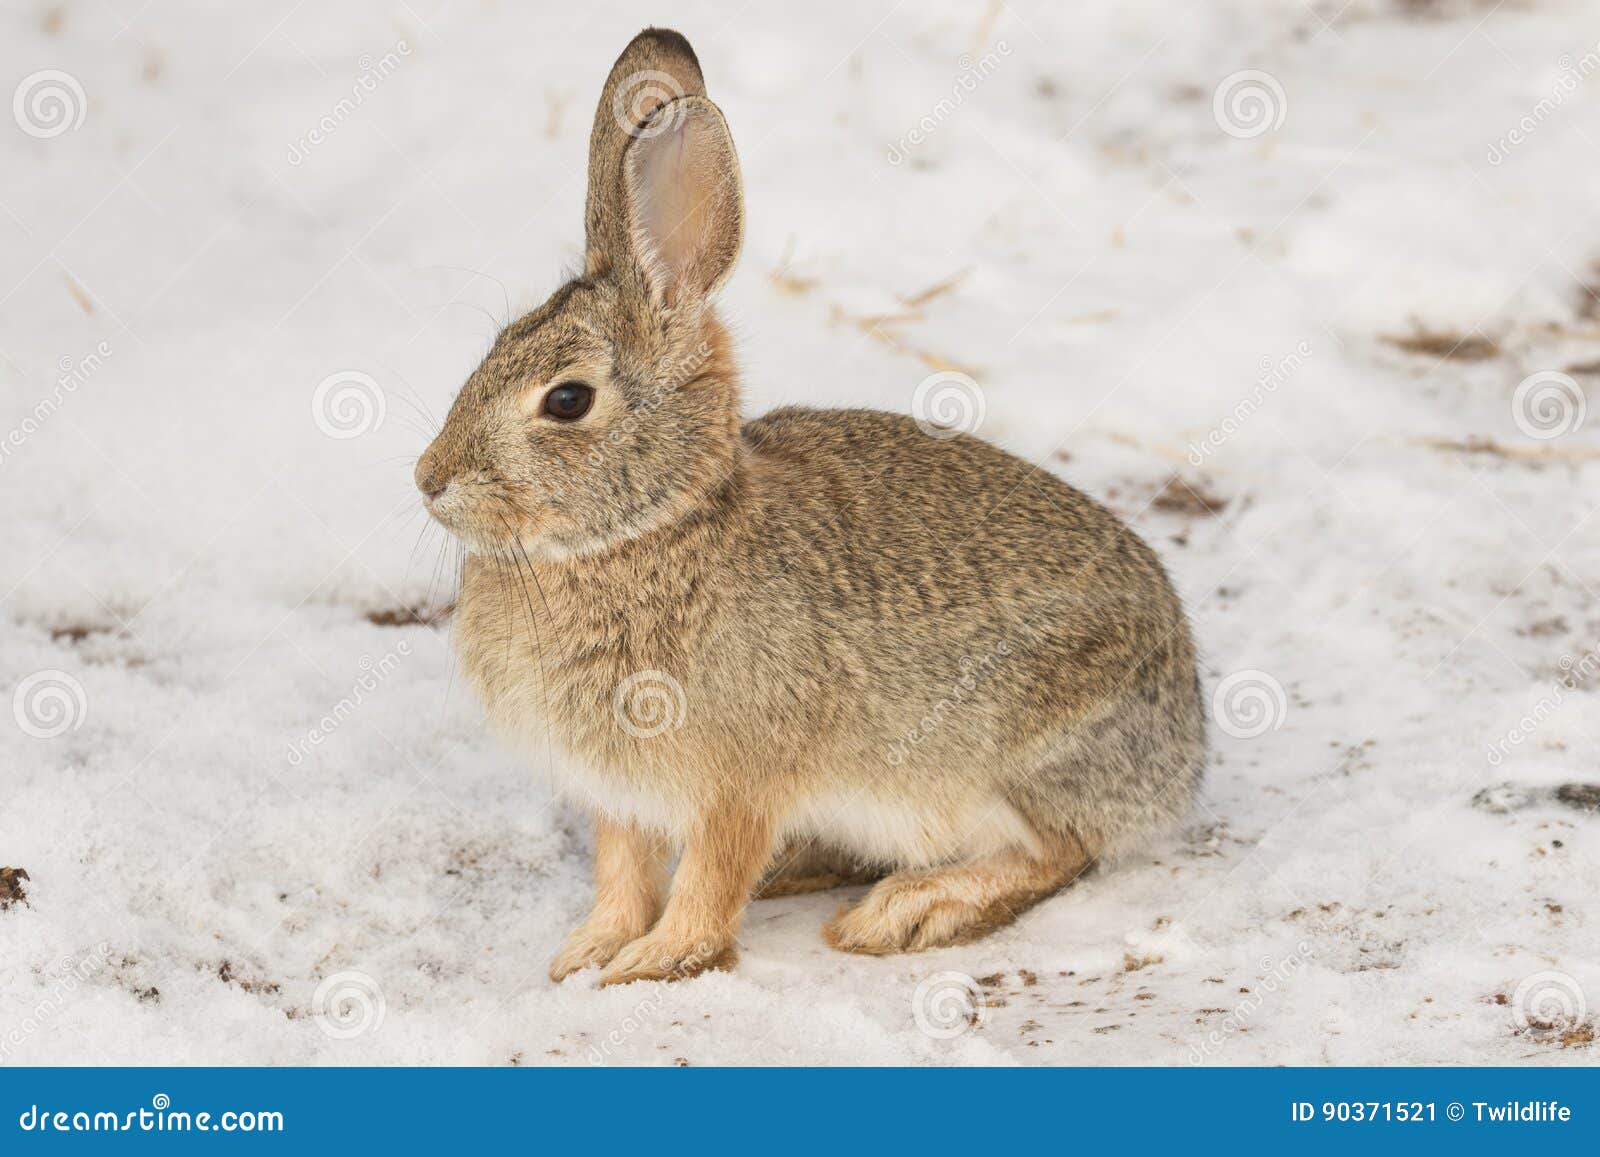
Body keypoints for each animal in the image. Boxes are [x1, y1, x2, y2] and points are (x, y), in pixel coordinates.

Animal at [414, 28, 1205, 987]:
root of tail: (1186, 744)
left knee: (1058, 852)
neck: (648, 531)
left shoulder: (736, 783)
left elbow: (709, 879)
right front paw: (591, 949)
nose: (428, 478)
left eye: (567, 401)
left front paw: (656, 960)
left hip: (1015, 759)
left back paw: (908, 910)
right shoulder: (624, 797)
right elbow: (622, 871)